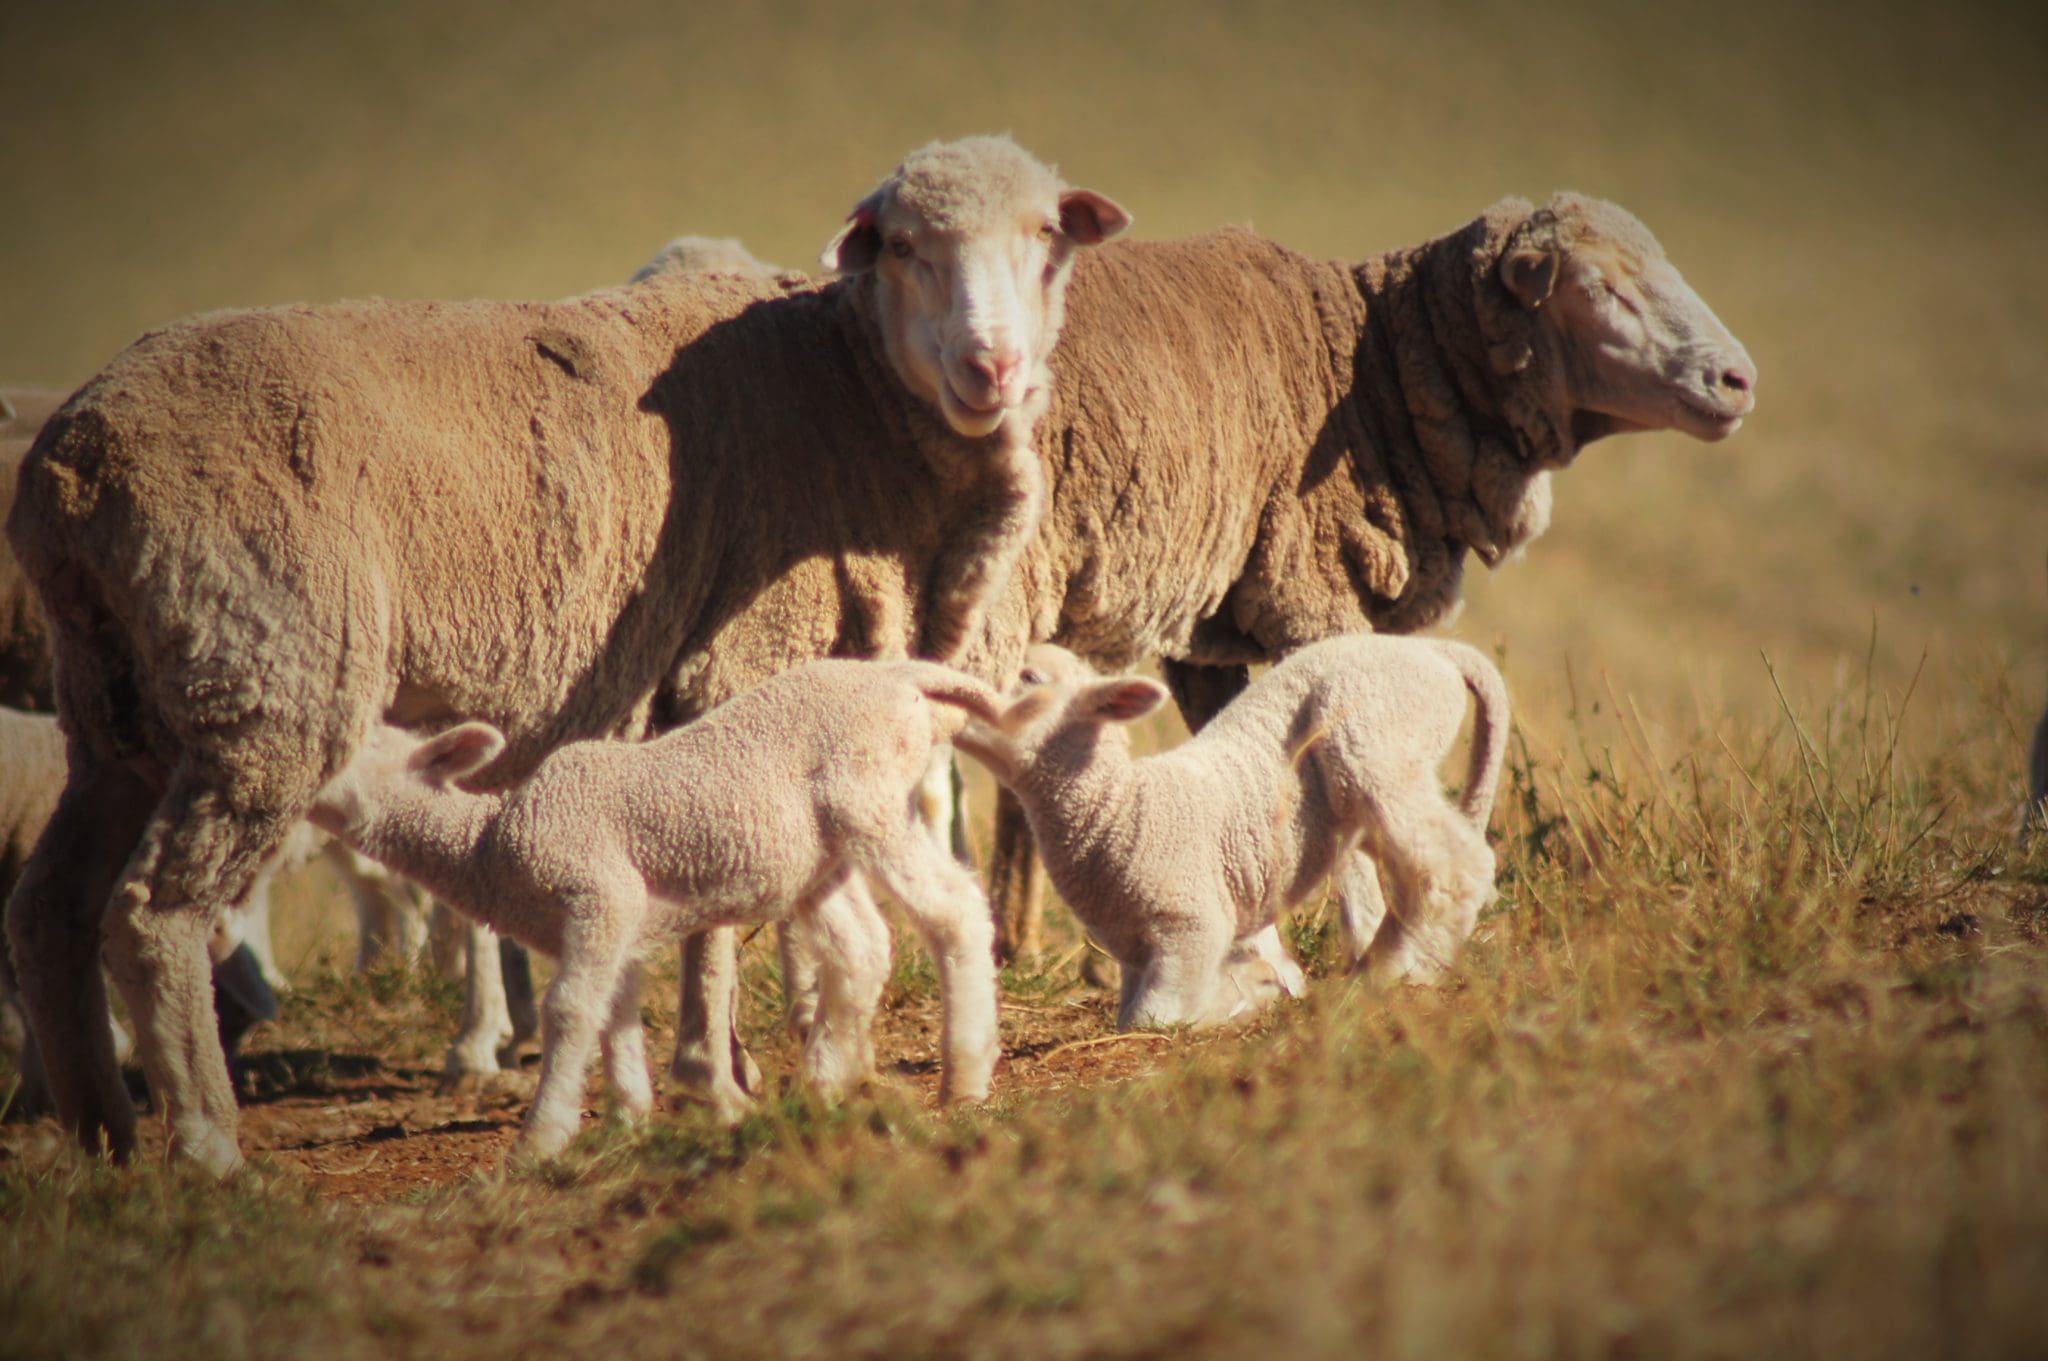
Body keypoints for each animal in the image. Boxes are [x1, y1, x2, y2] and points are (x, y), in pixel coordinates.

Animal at [305, 658, 1003, 1160]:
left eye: (349, 751)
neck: (488, 843)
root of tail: (901, 676)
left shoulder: (597, 893)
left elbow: (569, 1011)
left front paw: (539, 1140)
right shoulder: (617, 927)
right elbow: (614, 1017)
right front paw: (628, 1120)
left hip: (868, 798)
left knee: (955, 913)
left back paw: (964, 1077)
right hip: (819, 857)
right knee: (860, 947)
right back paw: (823, 1084)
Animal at [952, 637, 1508, 1029]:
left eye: (1029, 676)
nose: (950, 692)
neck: (1123, 810)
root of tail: (1433, 649)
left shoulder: (1191, 927)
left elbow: (1151, 1018)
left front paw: (1238, 1002)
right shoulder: (1134, 951)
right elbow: (1129, 1013)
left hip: (1376, 738)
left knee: (1453, 865)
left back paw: (1396, 971)